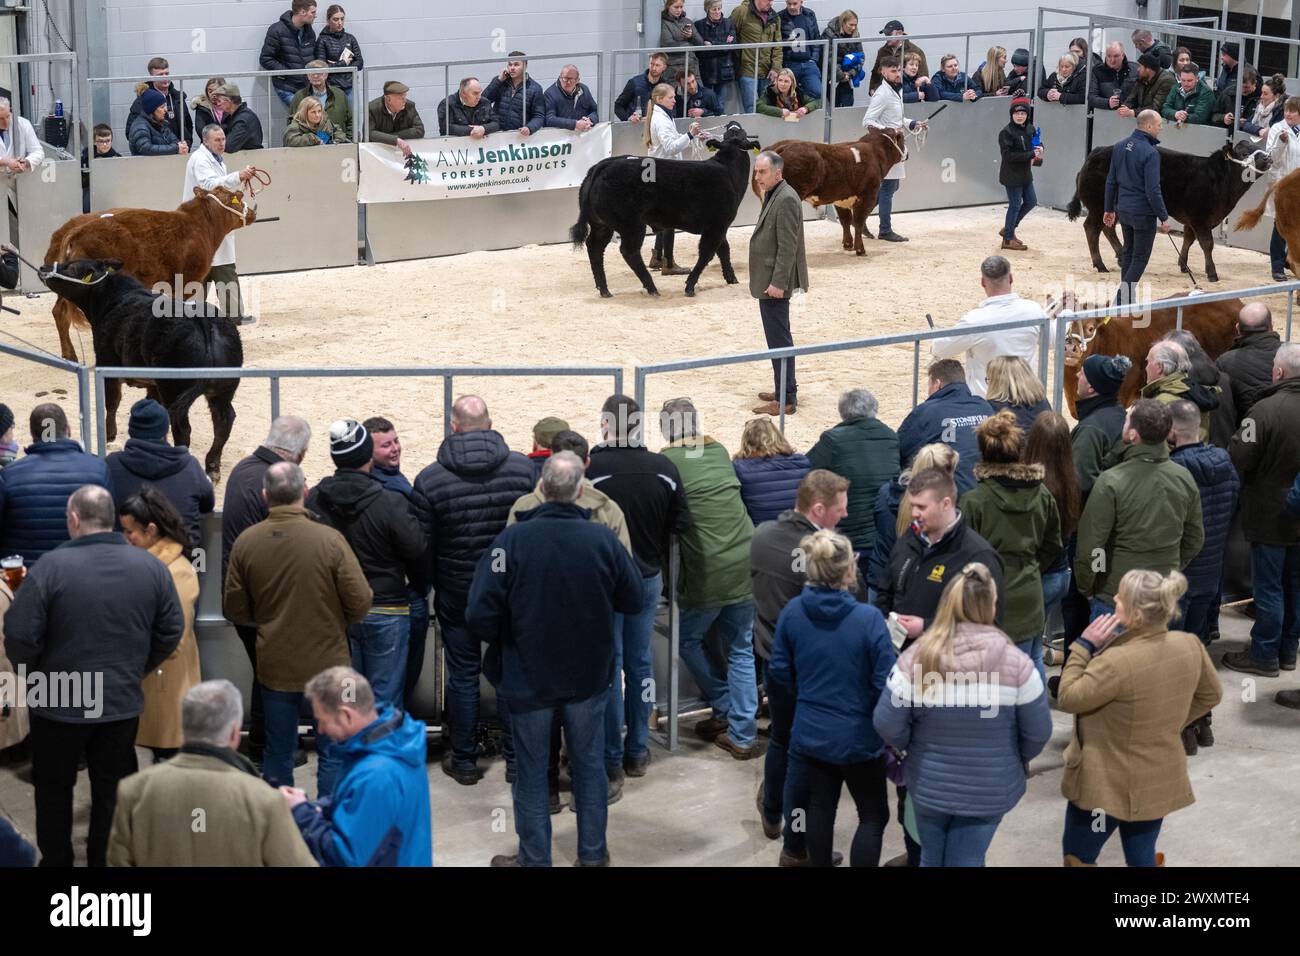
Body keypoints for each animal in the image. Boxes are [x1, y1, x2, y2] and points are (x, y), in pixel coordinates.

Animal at [37, 257, 244, 483]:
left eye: (72, 267)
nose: (43, 267)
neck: (113, 300)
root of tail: (202, 320)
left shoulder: (107, 361)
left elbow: (112, 401)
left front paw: (109, 434)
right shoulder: (153, 384)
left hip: (175, 389)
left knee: (183, 428)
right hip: (222, 390)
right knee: (223, 421)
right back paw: (212, 467)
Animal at [43, 185, 258, 362]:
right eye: (235, 198)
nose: (252, 211)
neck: (200, 226)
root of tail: (77, 230)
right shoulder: (186, 281)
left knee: (59, 311)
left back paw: (69, 355)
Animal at [570, 120, 761, 298]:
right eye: (741, 134)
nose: (733, 123)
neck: (729, 171)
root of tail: (602, 166)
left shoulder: (718, 226)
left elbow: (724, 250)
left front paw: (731, 278)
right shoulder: (717, 225)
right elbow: (707, 253)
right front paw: (690, 286)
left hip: (602, 224)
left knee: (594, 247)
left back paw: (604, 289)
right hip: (632, 224)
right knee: (629, 251)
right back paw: (651, 287)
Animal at [754, 127, 905, 256]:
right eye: (902, 139)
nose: (907, 154)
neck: (874, 152)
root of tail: (783, 145)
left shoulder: (841, 198)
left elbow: (845, 221)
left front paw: (848, 244)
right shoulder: (868, 196)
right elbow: (858, 222)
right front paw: (860, 249)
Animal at [1066, 137, 1269, 282]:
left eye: (1256, 146)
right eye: (1243, 152)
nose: (1267, 157)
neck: (1218, 180)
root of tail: (1095, 153)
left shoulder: (1193, 220)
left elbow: (1188, 240)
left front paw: (1184, 265)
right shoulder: (1200, 218)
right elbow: (1207, 244)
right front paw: (1212, 273)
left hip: (1112, 209)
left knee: (1108, 229)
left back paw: (1121, 256)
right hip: (1098, 206)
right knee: (1092, 229)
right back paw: (1100, 264)